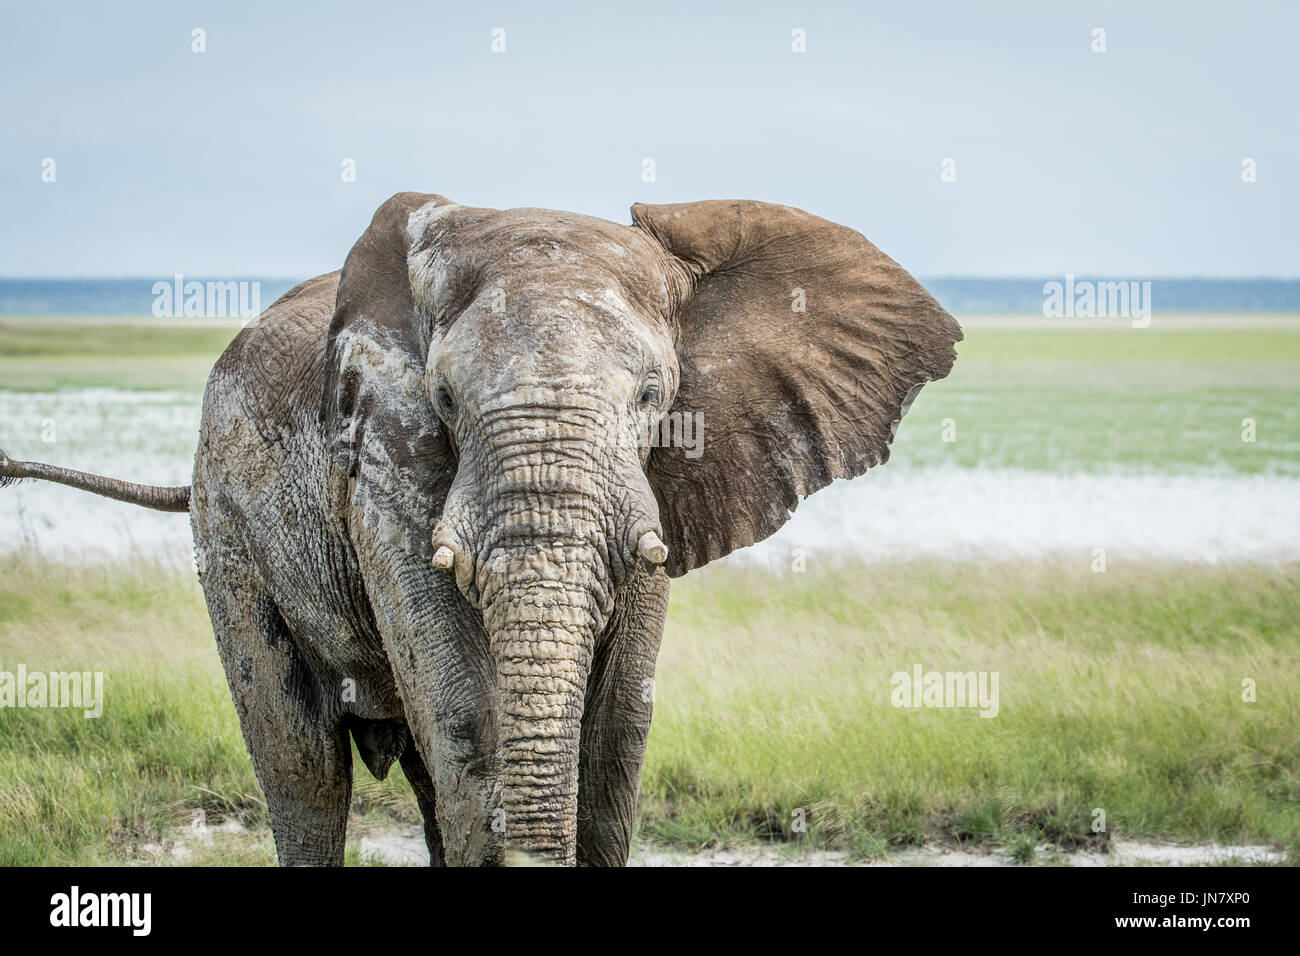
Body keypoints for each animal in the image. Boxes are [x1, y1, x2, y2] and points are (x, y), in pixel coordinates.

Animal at [0, 193, 961, 865]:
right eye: (446, 397)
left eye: (653, 396)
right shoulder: (384, 470)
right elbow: (467, 720)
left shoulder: (663, 484)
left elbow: (616, 739)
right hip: (226, 526)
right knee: (302, 764)